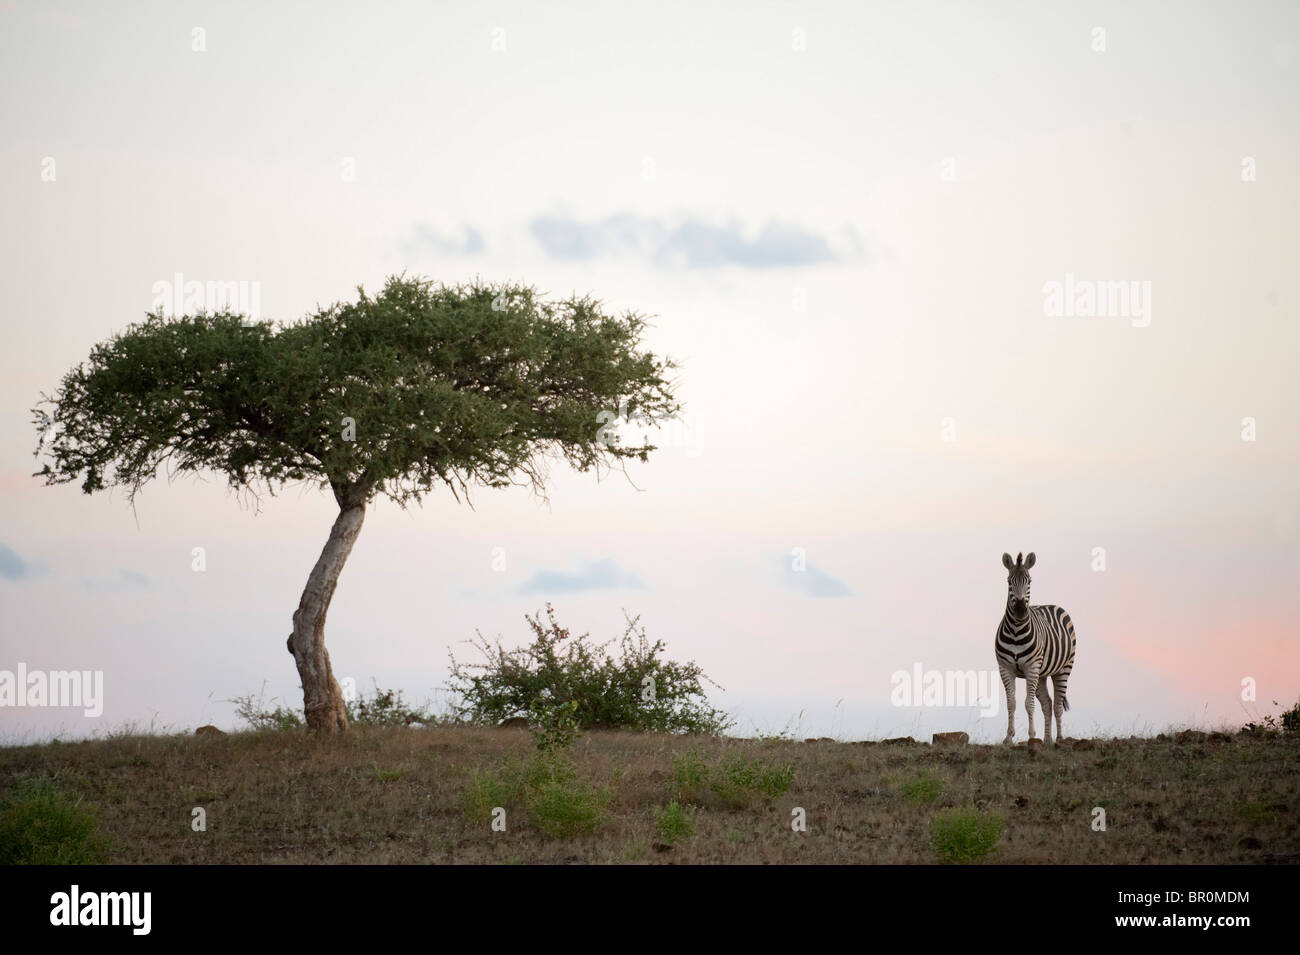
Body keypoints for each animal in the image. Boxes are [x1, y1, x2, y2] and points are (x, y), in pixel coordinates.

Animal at [995, 552, 1076, 747]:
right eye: (1009, 581)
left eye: (1029, 581)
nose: (1020, 610)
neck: (1016, 631)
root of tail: (1052, 605)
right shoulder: (1005, 668)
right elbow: (1012, 703)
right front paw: (1008, 737)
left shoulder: (1031, 668)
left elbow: (1028, 703)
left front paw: (1031, 736)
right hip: (1042, 674)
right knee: (1047, 703)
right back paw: (1046, 740)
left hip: (1063, 668)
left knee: (1057, 704)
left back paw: (1059, 739)